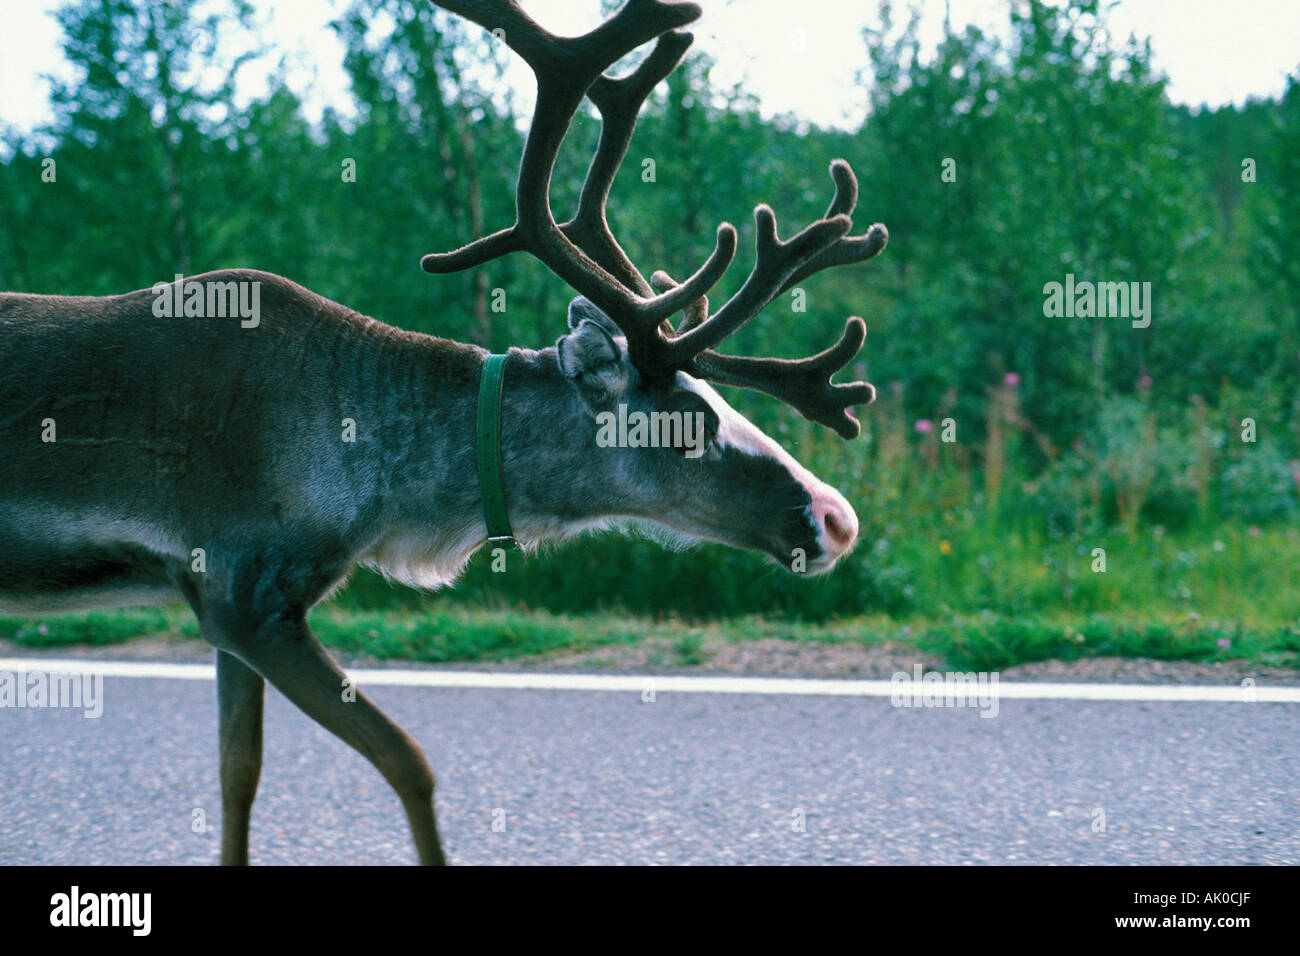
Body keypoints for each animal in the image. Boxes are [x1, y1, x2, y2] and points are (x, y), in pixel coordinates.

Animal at [0, 0, 886, 865]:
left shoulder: (227, 605)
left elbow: (237, 776)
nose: (837, 517)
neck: (381, 489)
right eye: (689, 423)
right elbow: (410, 763)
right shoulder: (243, 596)